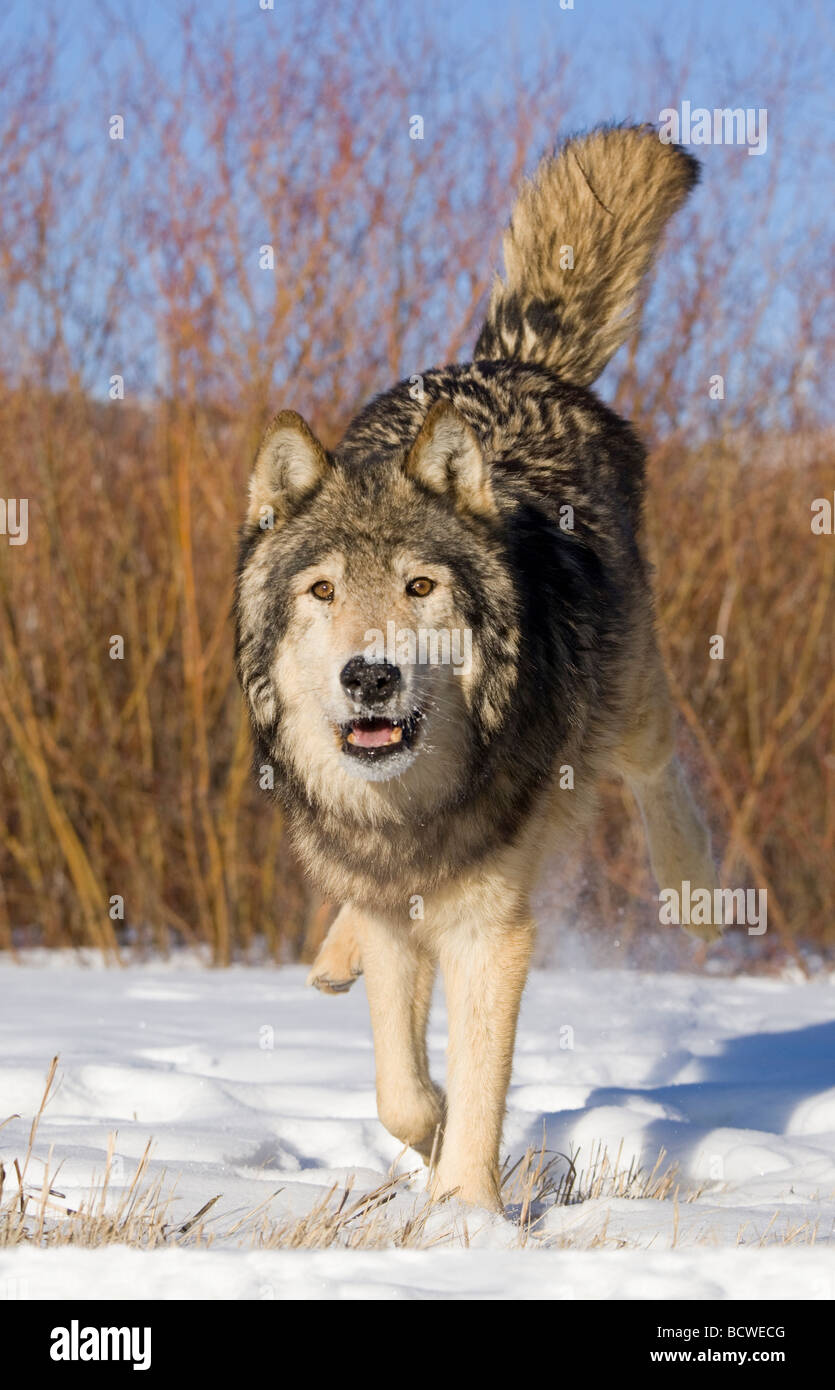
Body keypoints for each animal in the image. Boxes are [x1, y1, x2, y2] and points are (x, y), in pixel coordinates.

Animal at [235, 125, 718, 1212]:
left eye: (419, 587)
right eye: (323, 591)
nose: (369, 677)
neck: (414, 807)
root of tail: (506, 364)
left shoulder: (492, 930)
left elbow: (478, 1082)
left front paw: (466, 1217)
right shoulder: (397, 907)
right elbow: (401, 1092)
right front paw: (444, 1155)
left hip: (627, 697)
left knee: (658, 765)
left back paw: (701, 897)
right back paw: (332, 956)